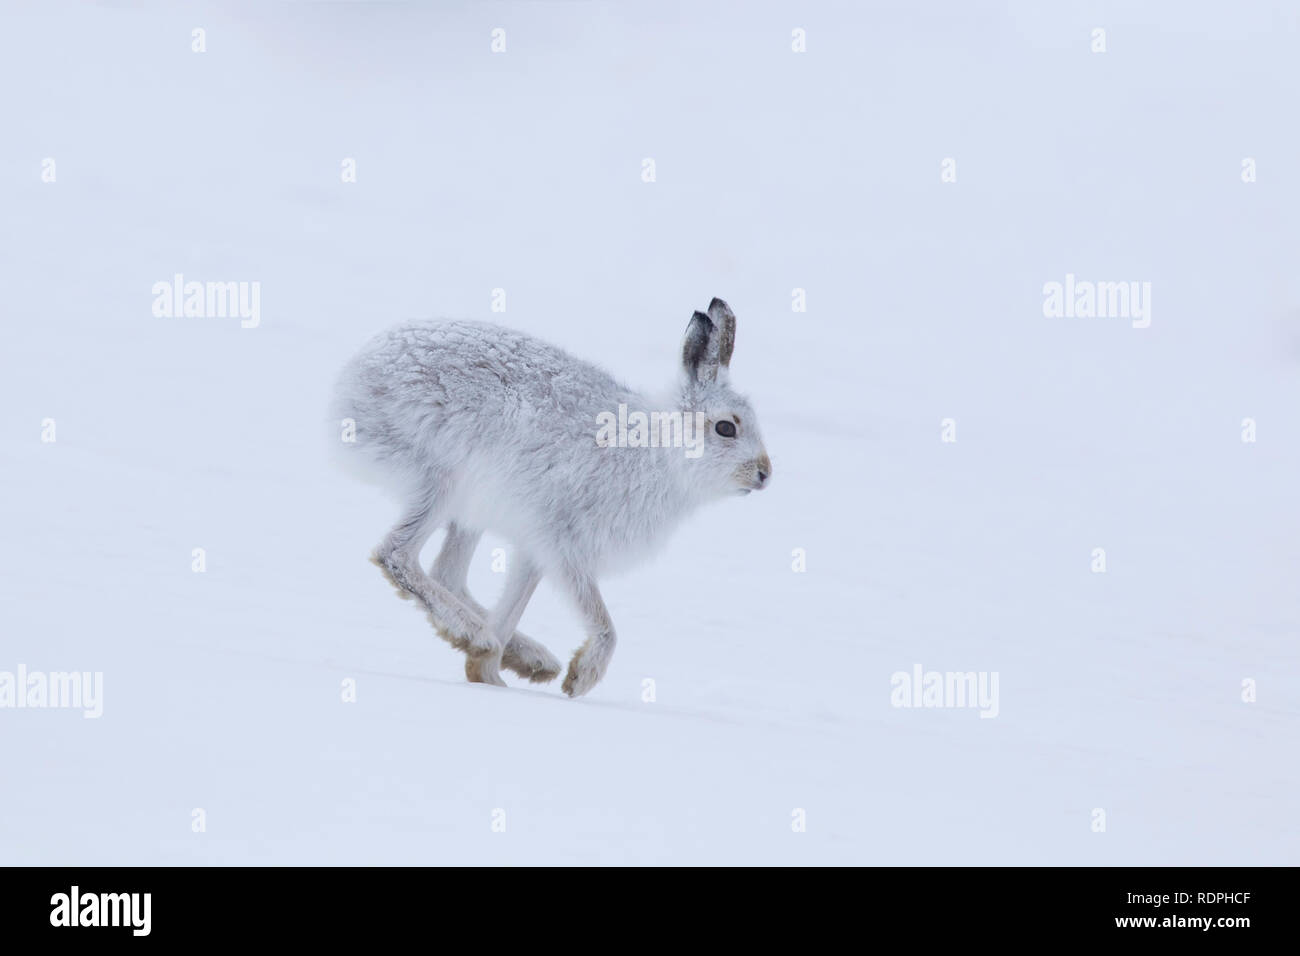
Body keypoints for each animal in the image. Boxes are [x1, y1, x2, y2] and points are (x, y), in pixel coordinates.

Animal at [333, 297, 772, 697]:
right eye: (726, 428)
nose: (765, 474)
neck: (660, 450)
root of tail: (355, 379)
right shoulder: (562, 542)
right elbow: (603, 621)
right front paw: (580, 678)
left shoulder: (535, 548)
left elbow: (513, 606)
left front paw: (489, 678)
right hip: (442, 481)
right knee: (396, 554)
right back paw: (477, 635)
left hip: (469, 512)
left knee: (447, 574)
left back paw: (527, 656)